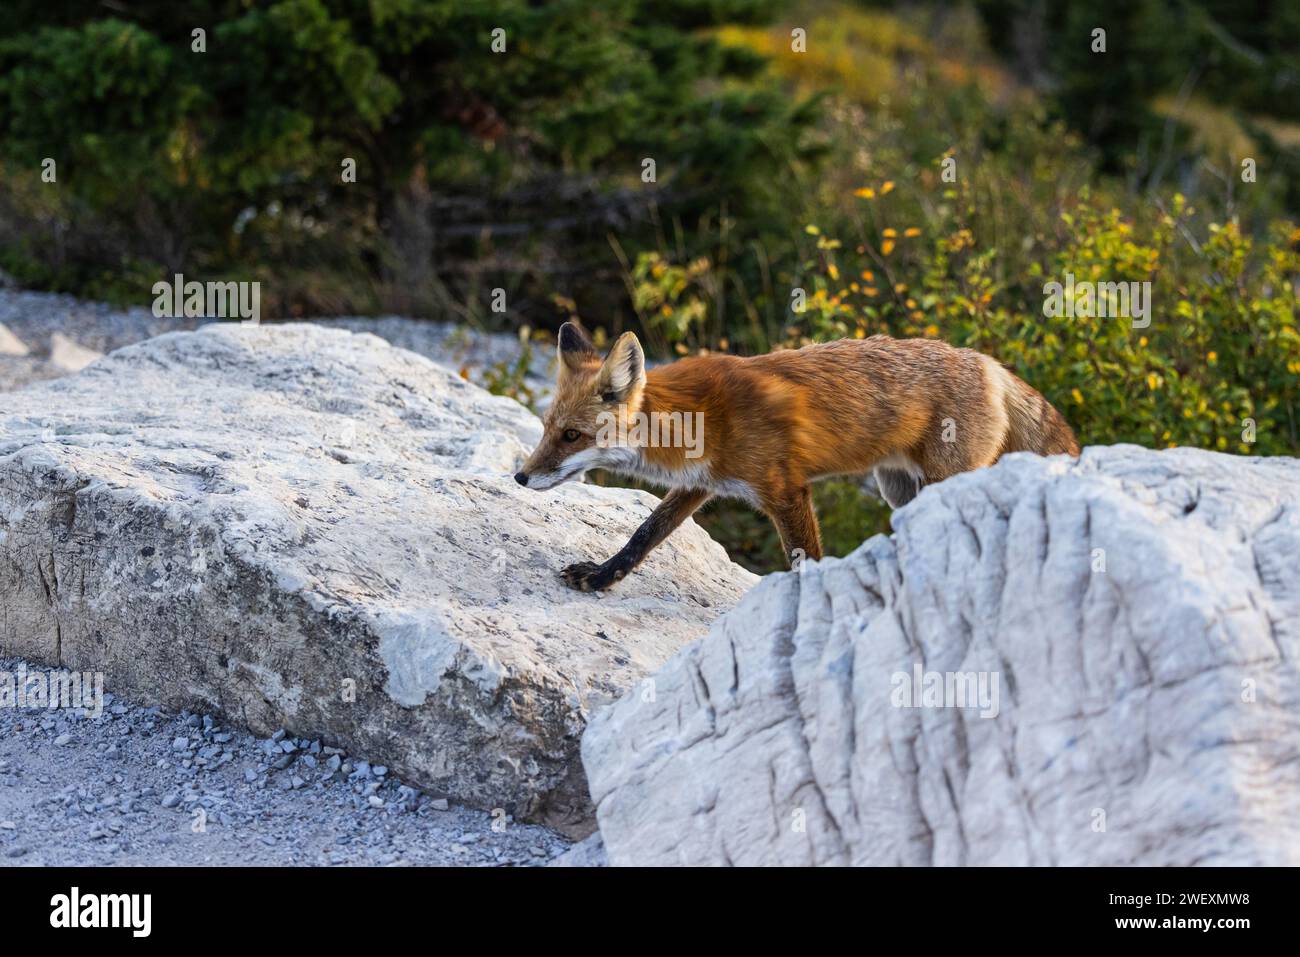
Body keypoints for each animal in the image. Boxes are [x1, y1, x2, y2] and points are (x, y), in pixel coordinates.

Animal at [515, 322, 1080, 591]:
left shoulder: (786, 490)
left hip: (944, 479)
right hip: (899, 490)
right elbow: (644, 534)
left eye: (572, 436)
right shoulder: (701, 483)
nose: (519, 477)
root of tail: (987, 361)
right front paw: (602, 576)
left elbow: (807, 563)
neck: (696, 419)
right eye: (546, 429)